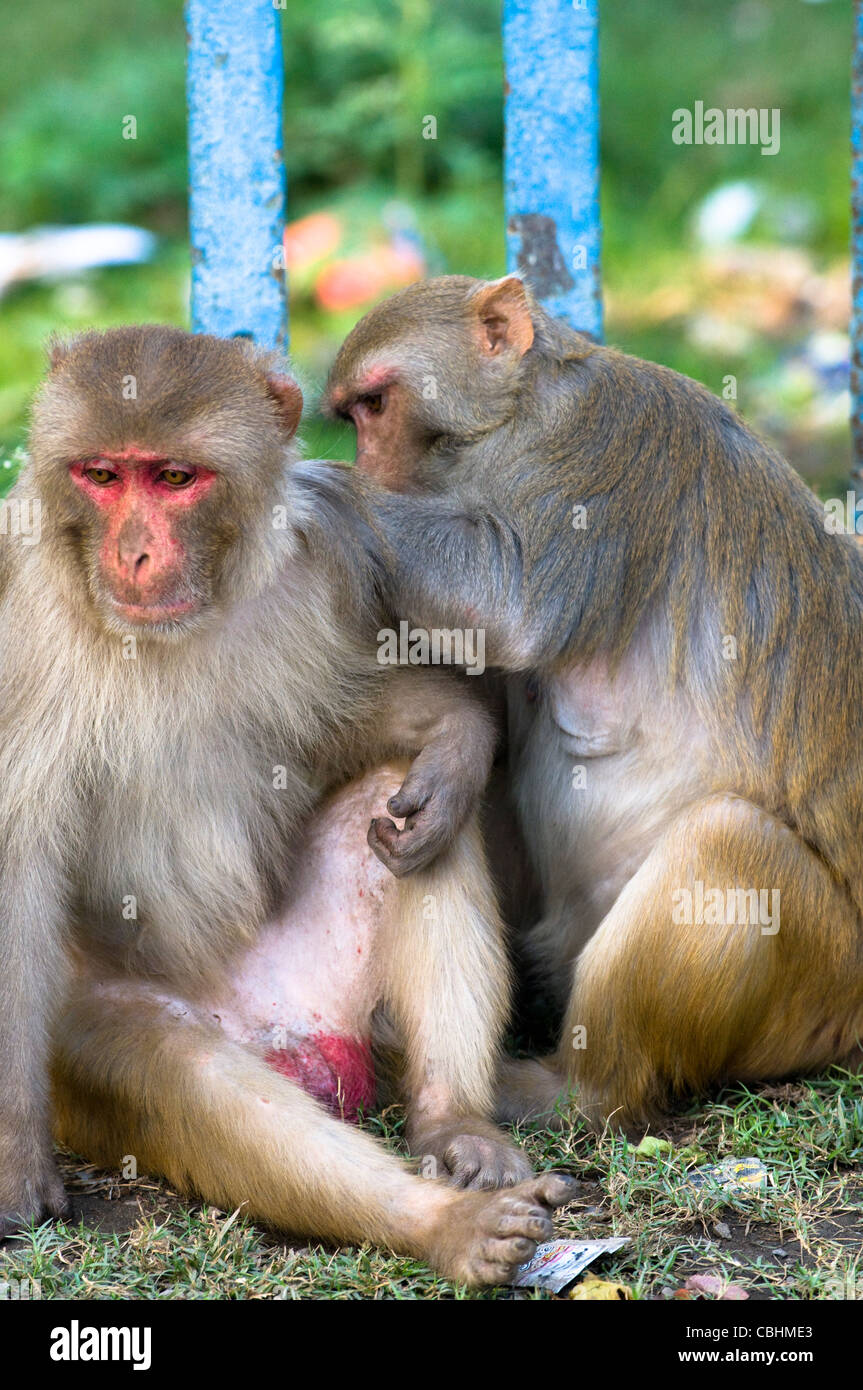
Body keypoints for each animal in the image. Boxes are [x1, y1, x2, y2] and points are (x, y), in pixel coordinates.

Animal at [0, 324, 578, 1285]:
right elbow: (15, 870)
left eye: (174, 478)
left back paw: (456, 1126)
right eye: (101, 475)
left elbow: (345, 727)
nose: (134, 556)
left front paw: (456, 735)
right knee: (197, 1086)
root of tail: (282, 1033)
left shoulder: (323, 562)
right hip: (95, 1032)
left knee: (408, 817)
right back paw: (443, 1226)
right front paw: (14, 1156)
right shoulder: (17, 624)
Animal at [325, 272, 863, 1131]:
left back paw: (573, 1089)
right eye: (350, 416)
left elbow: (514, 606)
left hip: (815, 995)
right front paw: (450, 767)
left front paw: (308, 491)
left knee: (727, 842)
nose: (364, 463)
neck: (514, 420)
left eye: (373, 406)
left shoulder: (596, 448)